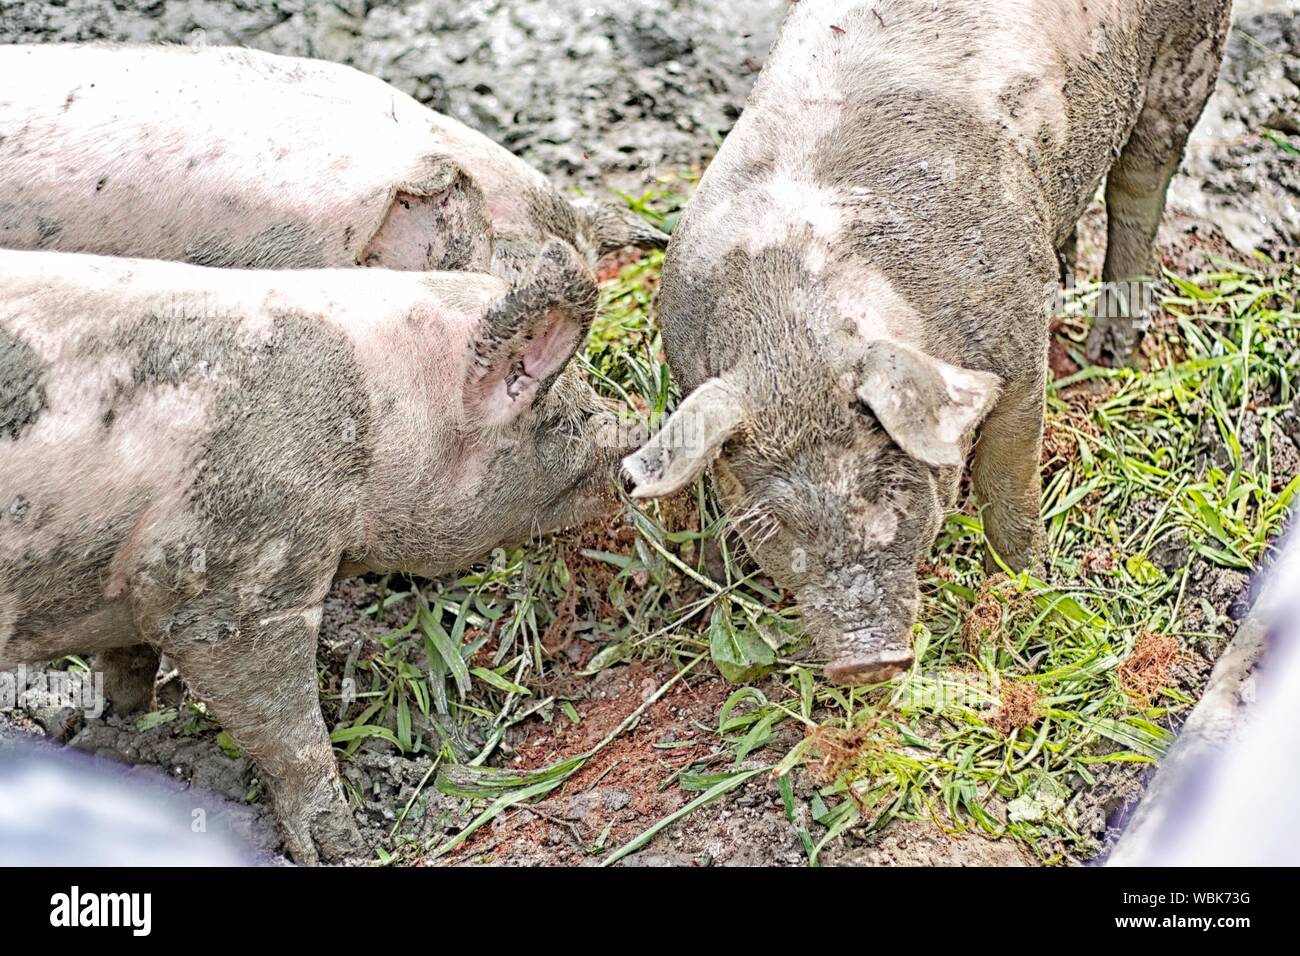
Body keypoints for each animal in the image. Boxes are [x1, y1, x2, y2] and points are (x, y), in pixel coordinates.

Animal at [0, 244, 621, 863]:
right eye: (567, 417)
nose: (625, 435)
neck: (383, 422)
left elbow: (127, 661)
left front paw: (109, 722)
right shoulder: (238, 581)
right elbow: (290, 729)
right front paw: (344, 848)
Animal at [624, 0, 1230, 683]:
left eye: (888, 487)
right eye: (775, 521)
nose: (867, 661)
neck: (796, 328)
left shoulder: (1017, 352)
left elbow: (1007, 479)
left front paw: (1023, 591)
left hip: (1189, 59)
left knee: (1141, 183)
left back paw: (1109, 351)